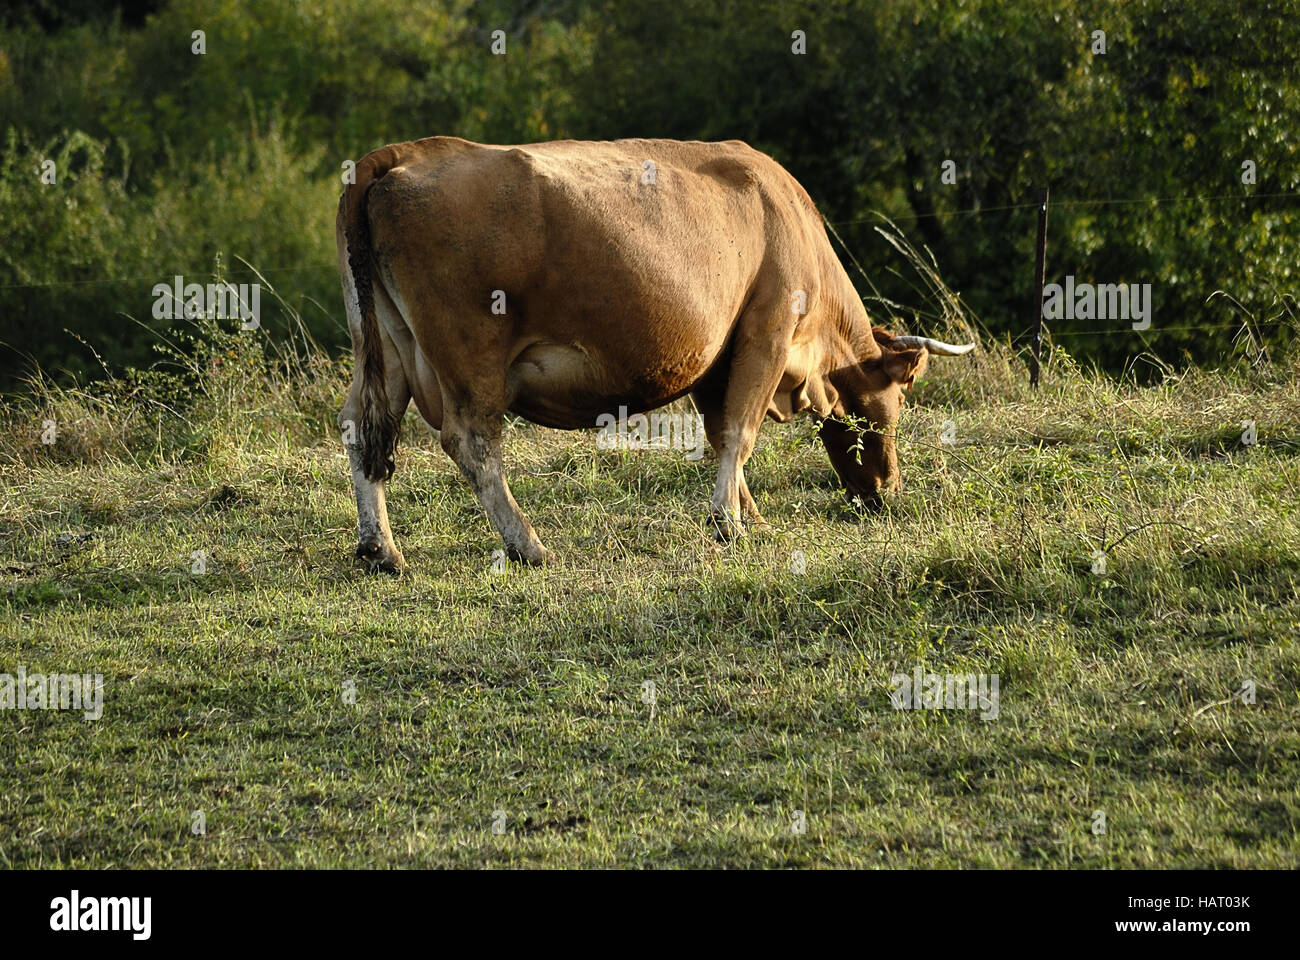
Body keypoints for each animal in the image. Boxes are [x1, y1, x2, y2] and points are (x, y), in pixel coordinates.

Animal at [336, 136, 972, 572]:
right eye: (895, 405)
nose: (886, 492)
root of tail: (405, 153)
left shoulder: (720, 357)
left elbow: (721, 433)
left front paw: (748, 514)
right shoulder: (766, 331)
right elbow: (740, 431)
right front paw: (729, 524)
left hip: (385, 347)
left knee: (361, 428)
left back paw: (381, 549)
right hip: (471, 359)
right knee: (472, 442)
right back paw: (528, 544)